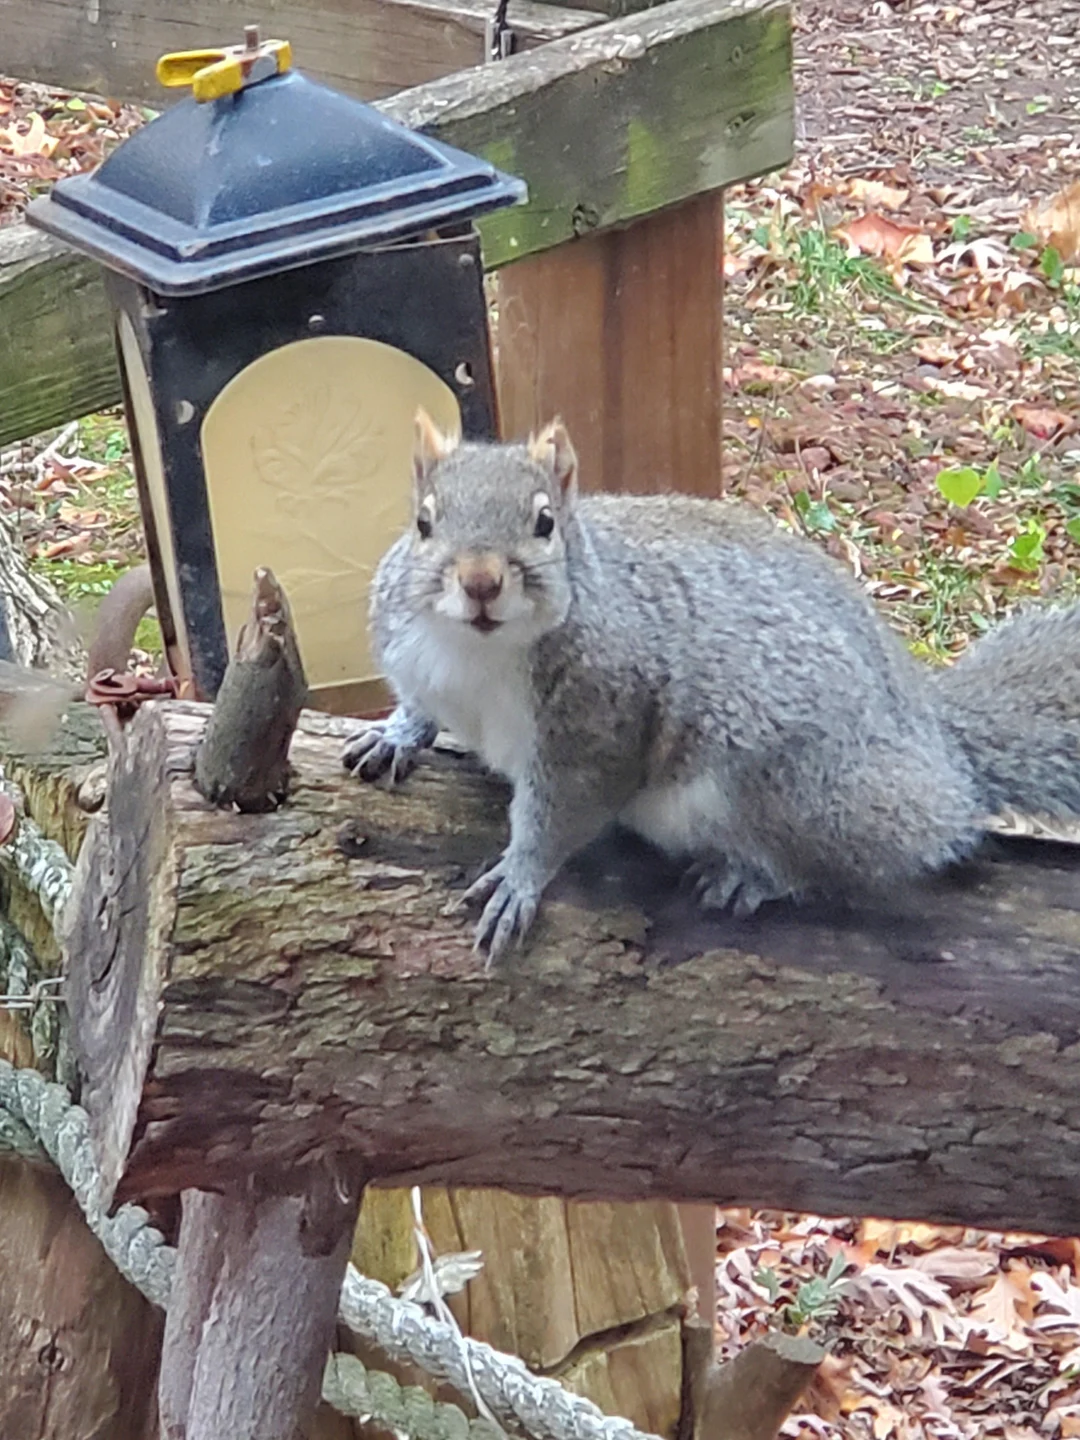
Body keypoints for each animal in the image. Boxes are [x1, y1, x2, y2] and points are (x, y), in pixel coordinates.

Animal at [343, 411, 1080, 964]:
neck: (476, 650)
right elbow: (420, 708)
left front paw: (519, 877)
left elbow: (560, 815)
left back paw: (753, 874)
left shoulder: (599, 726)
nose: (480, 581)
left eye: (544, 523)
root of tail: (939, 741)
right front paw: (395, 734)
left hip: (796, 786)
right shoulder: (418, 661)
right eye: (423, 523)